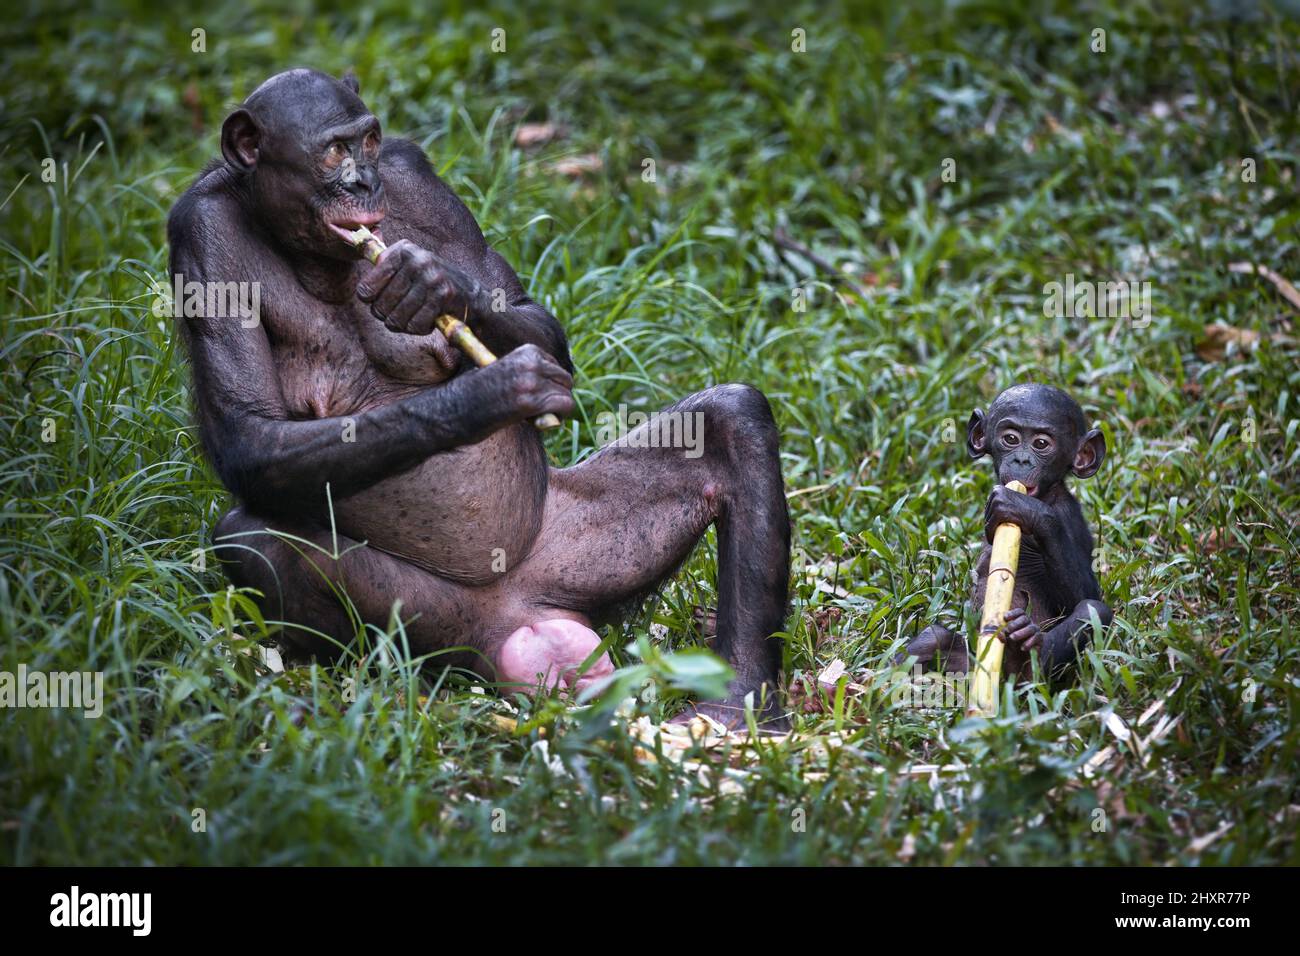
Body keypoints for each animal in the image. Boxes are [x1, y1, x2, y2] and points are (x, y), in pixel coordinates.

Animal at [167, 69, 792, 730]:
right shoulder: (200, 235)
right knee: (254, 542)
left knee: (731, 419)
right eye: (334, 151)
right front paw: (493, 391)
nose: (363, 183)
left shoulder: (417, 179)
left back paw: (733, 705)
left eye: (368, 142)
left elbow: (521, 309)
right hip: (456, 609)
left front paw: (436, 284)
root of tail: (529, 614)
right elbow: (250, 433)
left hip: (572, 550)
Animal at [903, 384, 1111, 684]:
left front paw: (1025, 509)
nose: (1021, 460)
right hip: (968, 664)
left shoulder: (1069, 516)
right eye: (1010, 438)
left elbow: (1084, 594)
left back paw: (1025, 651)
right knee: (932, 637)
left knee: (1093, 609)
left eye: (1041, 444)